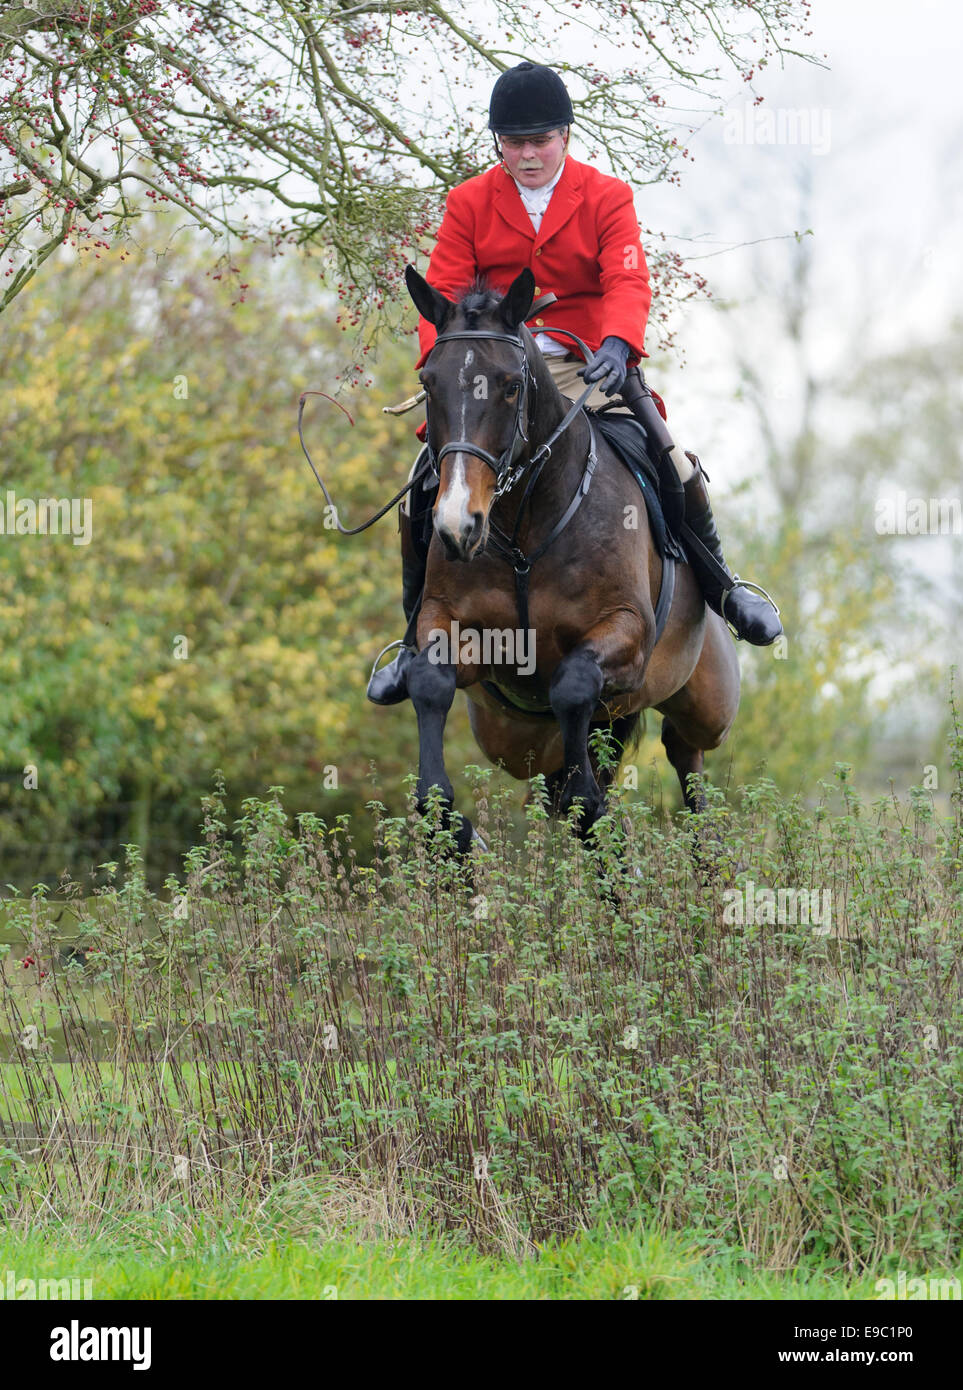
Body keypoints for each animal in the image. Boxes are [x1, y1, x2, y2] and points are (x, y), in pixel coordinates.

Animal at [402, 263, 740, 854]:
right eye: (429, 384)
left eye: (511, 386)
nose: (458, 526)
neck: (523, 526)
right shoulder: (452, 625)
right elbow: (429, 685)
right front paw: (456, 836)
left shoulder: (626, 633)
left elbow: (574, 686)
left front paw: (601, 827)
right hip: (514, 736)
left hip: (706, 699)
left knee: (686, 751)